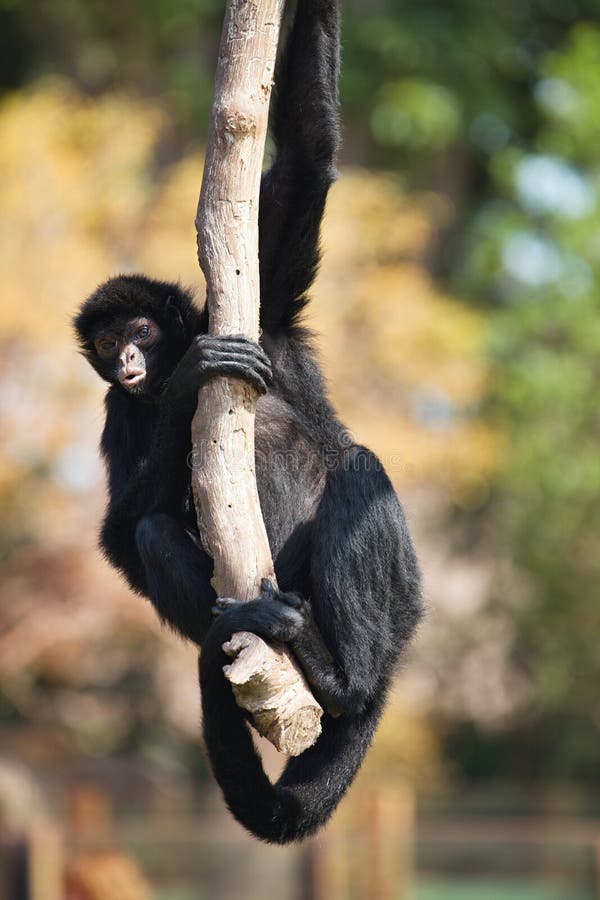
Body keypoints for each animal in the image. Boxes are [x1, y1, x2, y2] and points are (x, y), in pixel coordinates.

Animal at [74, 0, 422, 844]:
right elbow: (119, 535)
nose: (127, 361)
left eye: (140, 332)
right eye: (106, 344)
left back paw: (340, 679)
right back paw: (251, 633)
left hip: (397, 598)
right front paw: (183, 389)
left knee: (359, 466)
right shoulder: (116, 409)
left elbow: (306, 163)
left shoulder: (262, 317)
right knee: (153, 529)